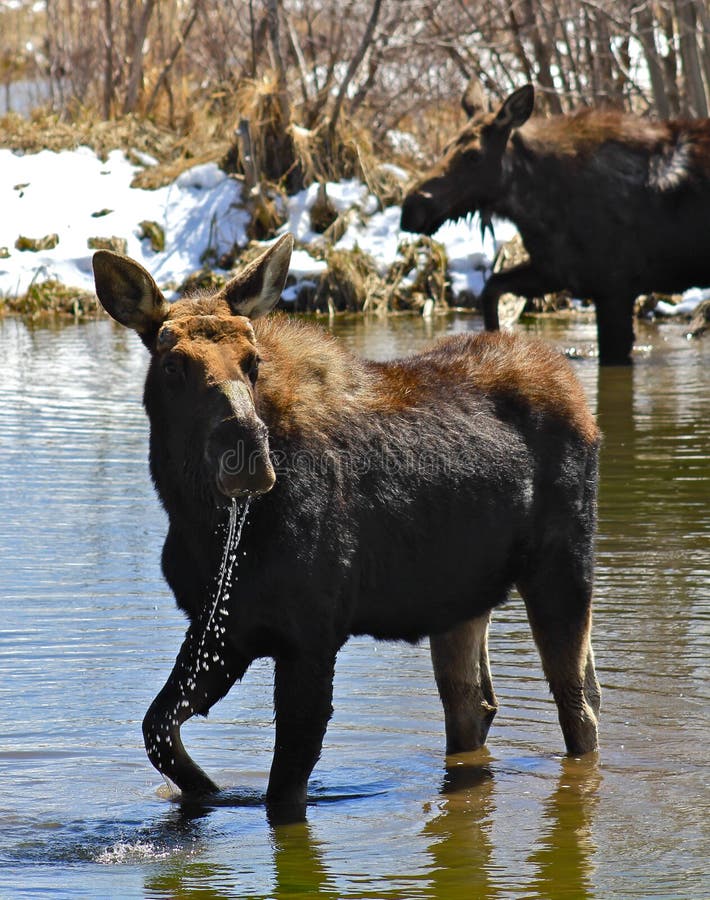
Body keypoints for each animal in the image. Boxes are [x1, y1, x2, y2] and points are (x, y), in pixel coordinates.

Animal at [92, 234, 601, 823]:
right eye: (173, 366)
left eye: (252, 361)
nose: (247, 455)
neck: (203, 523)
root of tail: (577, 392)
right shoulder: (224, 624)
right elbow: (158, 729)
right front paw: (206, 793)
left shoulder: (310, 634)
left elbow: (283, 790)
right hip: (461, 598)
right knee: (474, 704)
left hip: (562, 568)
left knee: (579, 706)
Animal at [400, 81, 710, 365]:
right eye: (445, 148)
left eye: (474, 155)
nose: (411, 208)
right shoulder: (558, 270)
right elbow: (491, 289)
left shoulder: (615, 288)